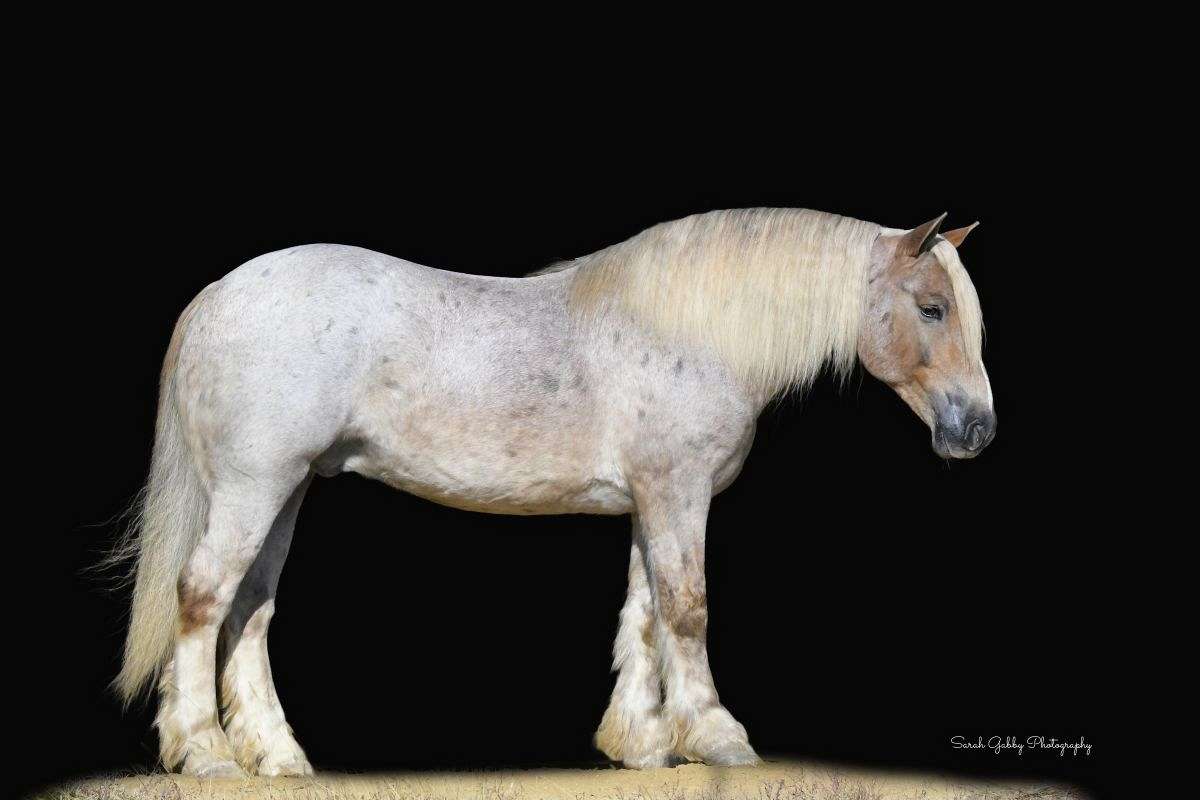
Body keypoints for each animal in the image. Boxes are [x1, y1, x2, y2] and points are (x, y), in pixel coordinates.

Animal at [112, 208, 994, 778]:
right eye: (930, 308)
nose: (977, 428)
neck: (693, 332)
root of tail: (220, 293)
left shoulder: (649, 501)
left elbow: (645, 613)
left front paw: (641, 744)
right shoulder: (677, 493)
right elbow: (688, 608)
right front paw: (716, 737)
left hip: (285, 492)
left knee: (249, 612)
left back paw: (278, 755)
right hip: (253, 489)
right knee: (203, 597)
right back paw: (204, 752)